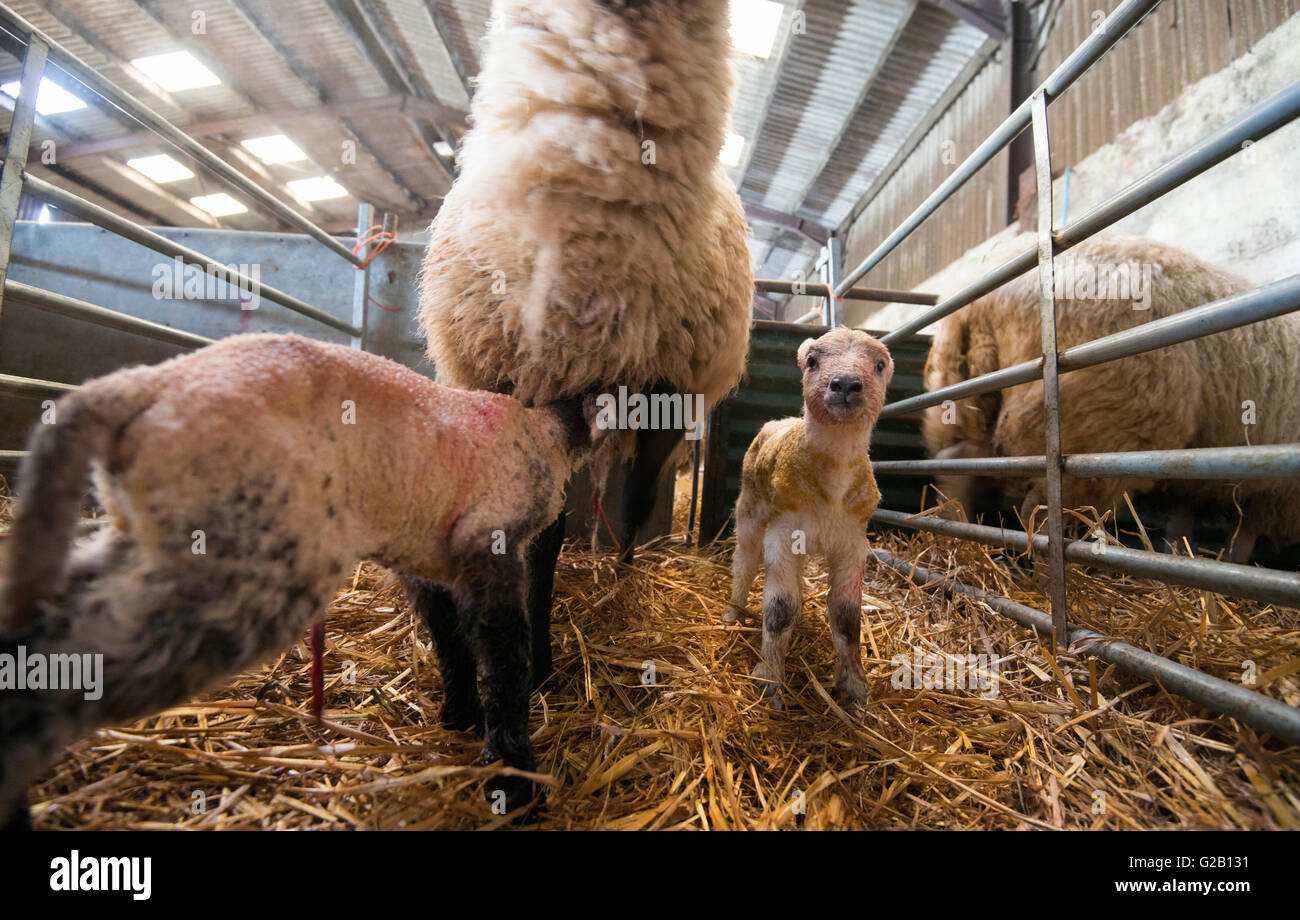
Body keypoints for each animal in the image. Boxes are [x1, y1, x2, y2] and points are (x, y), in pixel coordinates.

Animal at [0, 333, 597, 829]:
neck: (542, 433)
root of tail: (136, 387)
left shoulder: (427, 558)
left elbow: (451, 643)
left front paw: (459, 715)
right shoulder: (488, 542)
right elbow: (503, 658)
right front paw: (514, 781)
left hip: (151, 535)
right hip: (245, 559)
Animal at [418, 0, 754, 667]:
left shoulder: (652, 388)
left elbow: (625, 502)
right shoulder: (523, 384)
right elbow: (545, 534)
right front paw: (538, 651)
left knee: (637, 496)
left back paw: (624, 566)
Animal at [726, 327, 895, 710]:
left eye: (879, 365)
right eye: (812, 361)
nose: (845, 383)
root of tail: (781, 422)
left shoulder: (852, 543)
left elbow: (846, 616)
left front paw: (854, 688)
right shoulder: (783, 534)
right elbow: (780, 608)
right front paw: (770, 680)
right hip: (751, 510)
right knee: (744, 563)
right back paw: (733, 615)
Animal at [922, 233, 1300, 561]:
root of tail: (981, 300)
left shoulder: (1197, 473)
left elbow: (1182, 525)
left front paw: (1179, 556)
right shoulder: (1274, 489)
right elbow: (1241, 539)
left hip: (964, 395)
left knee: (959, 459)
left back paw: (958, 531)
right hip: (1097, 420)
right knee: (1040, 514)